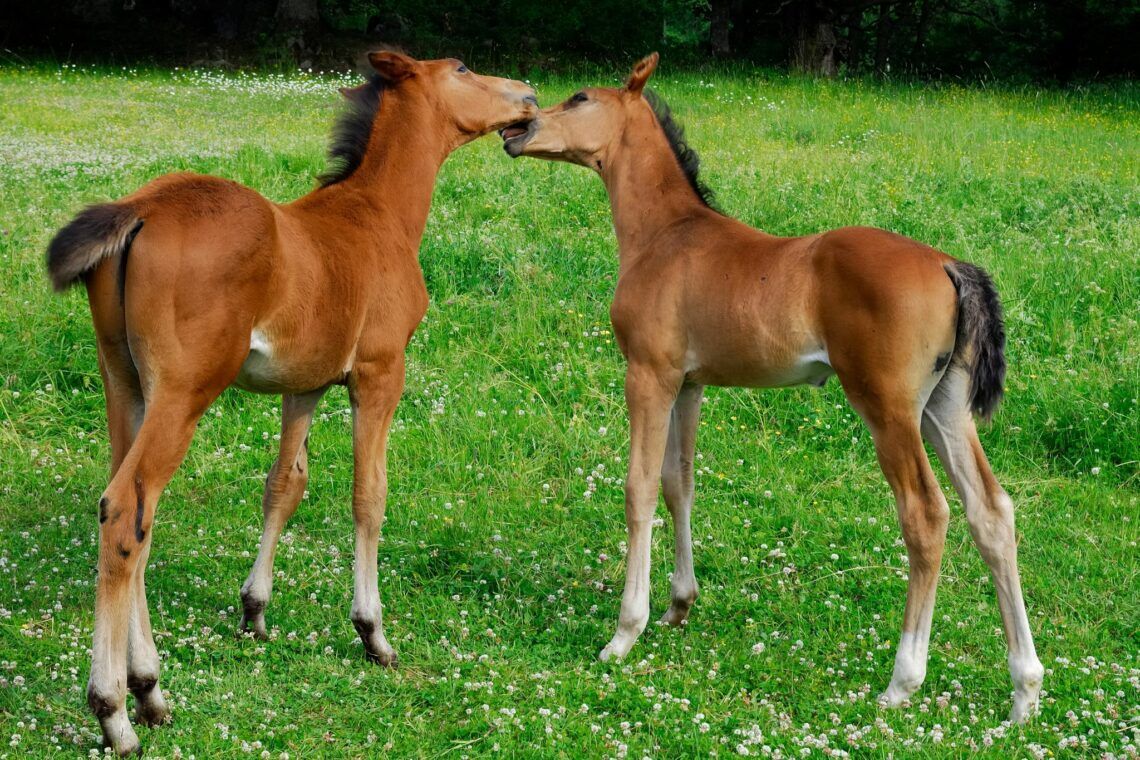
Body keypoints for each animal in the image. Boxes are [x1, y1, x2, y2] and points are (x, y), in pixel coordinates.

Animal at [46, 52, 536, 755]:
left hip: (124, 383)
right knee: (128, 511)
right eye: (465, 69)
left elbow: (285, 483)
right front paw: (372, 632)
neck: (375, 215)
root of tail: (137, 207)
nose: (527, 98)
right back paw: (116, 710)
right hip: (182, 391)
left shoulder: (304, 384)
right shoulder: (379, 373)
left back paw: (150, 691)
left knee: (131, 514)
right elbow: (369, 493)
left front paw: (255, 610)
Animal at [503, 53, 1043, 722]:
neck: (665, 235)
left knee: (926, 513)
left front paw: (625, 633)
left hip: (888, 408)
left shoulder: (648, 376)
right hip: (944, 408)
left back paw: (902, 681)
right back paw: (1024, 690)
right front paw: (679, 605)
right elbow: (680, 484)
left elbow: (639, 489)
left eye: (579, 97)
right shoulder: (689, 385)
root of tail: (948, 265)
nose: (516, 129)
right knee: (991, 513)